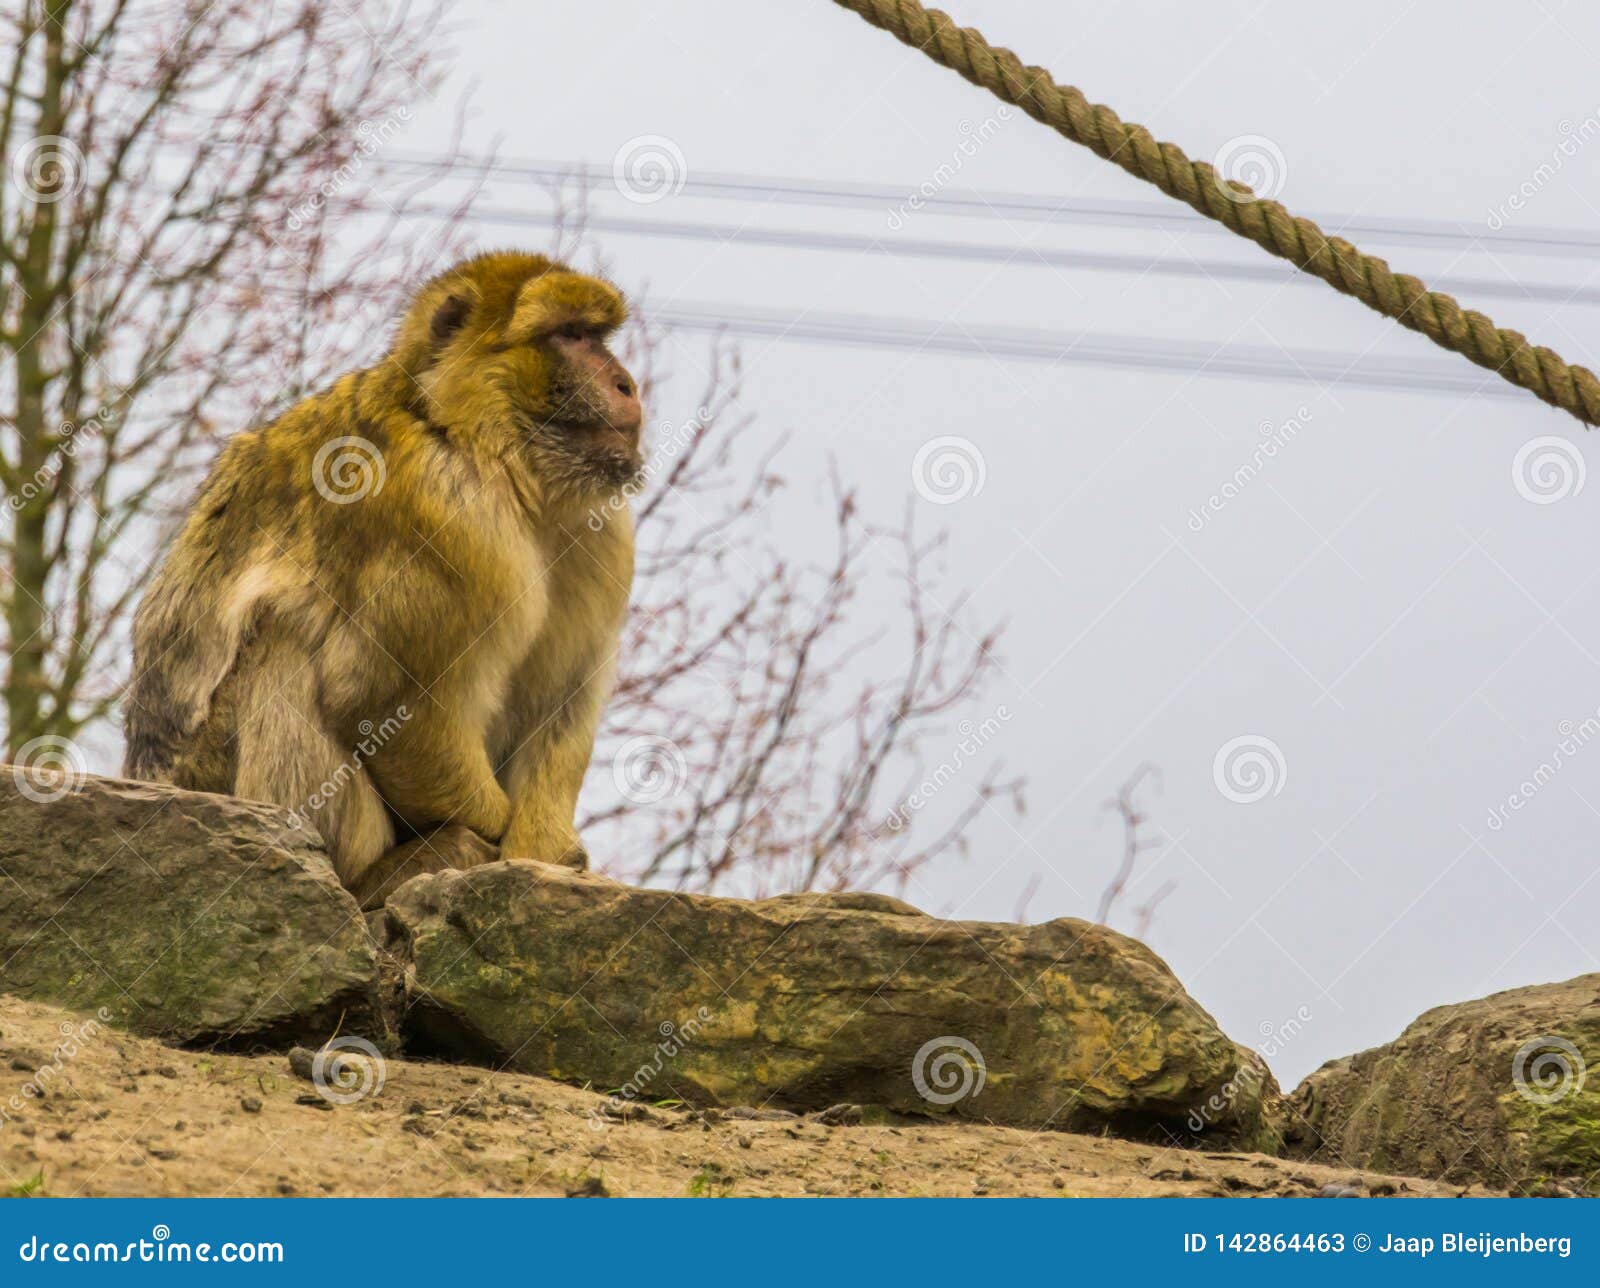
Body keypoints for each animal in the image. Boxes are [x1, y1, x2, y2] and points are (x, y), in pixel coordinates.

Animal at [122, 250, 643, 907]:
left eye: (597, 335)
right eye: (569, 335)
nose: (626, 383)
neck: (477, 443)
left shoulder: (601, 533)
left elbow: (561, 696)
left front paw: (542, 849)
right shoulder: (436, 510)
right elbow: (384, 695)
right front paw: (483, 834)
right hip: (209, 773)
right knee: (281, 641)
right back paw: (370, 873)